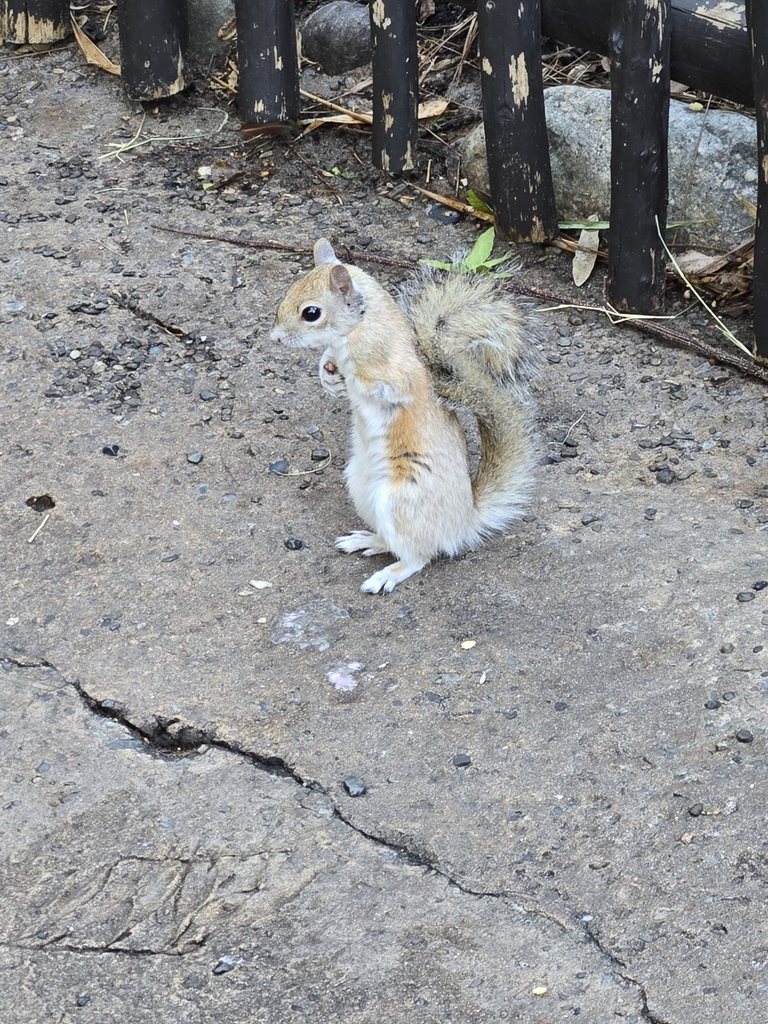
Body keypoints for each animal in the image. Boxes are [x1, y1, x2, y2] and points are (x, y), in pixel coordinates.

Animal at [270, 238, 539, 594]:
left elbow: (379, 386)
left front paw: (346, 376)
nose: (275, 338)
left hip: (399, 501)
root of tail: (463, 522)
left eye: (311, 313)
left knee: (419, 556)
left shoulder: (399, 376)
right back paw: (368, 540)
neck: (360, 329)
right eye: (289, 292)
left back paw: (388, 574)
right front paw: (328, 375)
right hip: (360, 485)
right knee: (396, 543)